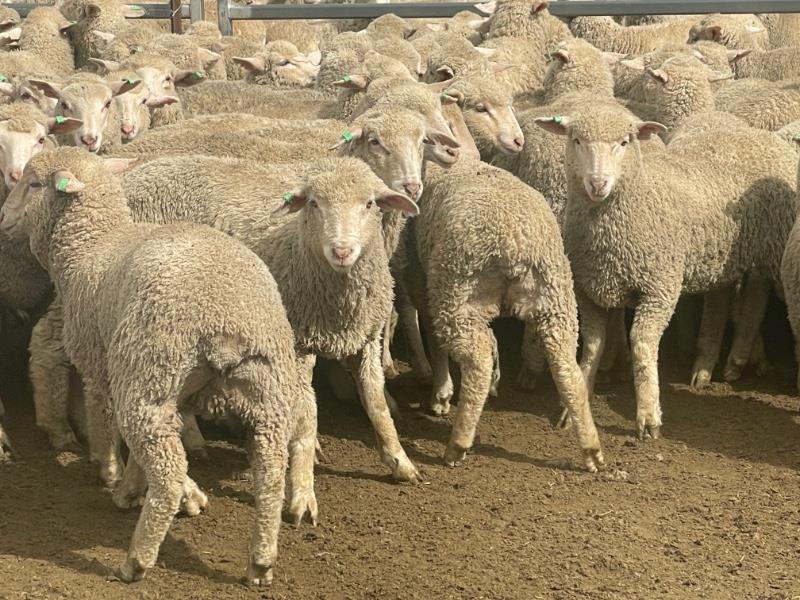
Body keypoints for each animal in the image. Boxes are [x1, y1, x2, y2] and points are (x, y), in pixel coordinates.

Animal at [0, 146, 315, 584]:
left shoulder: (102, 366)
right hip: (261, 381)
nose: (3, 216)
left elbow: (107, 423)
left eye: (31, 183)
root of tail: (225, 318)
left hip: (150, 371)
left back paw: (137, 559)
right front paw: (133, 487)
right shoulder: (167, 389)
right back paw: (261, 560)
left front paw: (114, 475)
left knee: (167, 468)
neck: (92, 246)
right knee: (269, 468)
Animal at [403, 157, 604, 471]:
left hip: (457, 293)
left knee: (477, 363)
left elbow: (433, 340)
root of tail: (513, 243)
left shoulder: (420, 279)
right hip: (555, 298)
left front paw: (439, 393)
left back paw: (457, 444)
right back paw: (591, 449)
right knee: (567, 371)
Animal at [534, 103, 796, 439]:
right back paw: (711, 365)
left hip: (777, 244)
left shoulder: (659, 288)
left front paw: (648, 416)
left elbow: (642, 344)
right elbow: (592, 348)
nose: (597, 184)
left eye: (625, 142)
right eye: (576, 140)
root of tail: (768, 137)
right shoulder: (588, 291)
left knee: (756, 295)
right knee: (733, 298)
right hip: (721, 255)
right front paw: (574, 408)